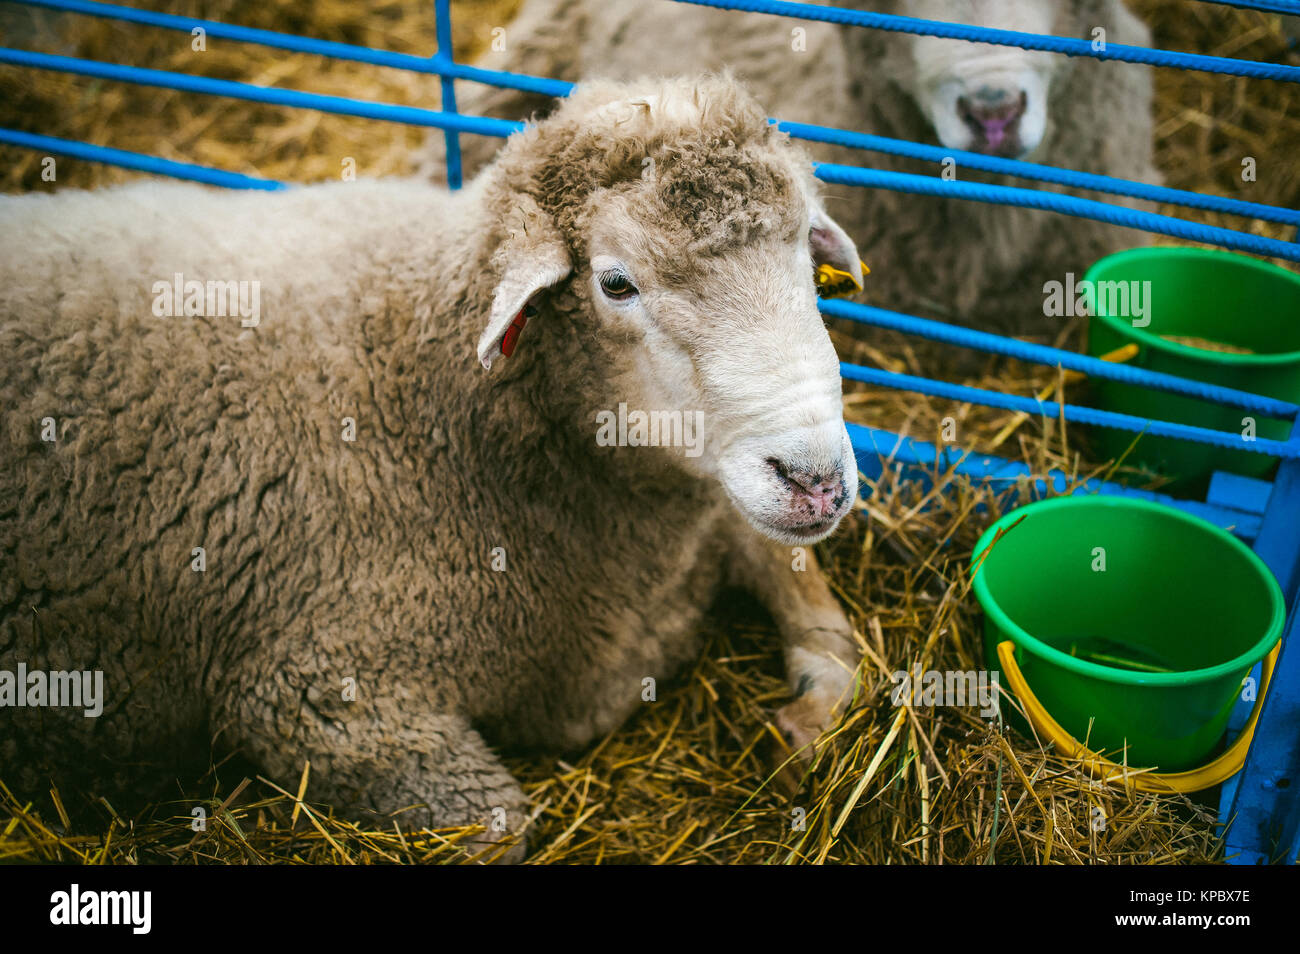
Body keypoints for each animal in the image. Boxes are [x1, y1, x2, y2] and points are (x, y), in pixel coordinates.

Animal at [0, 75, 866, 861]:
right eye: (616, 282)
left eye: (804, 252)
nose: (815, 479)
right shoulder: (315, 692)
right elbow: (500, 830)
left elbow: (815, 609)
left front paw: (807, 719)